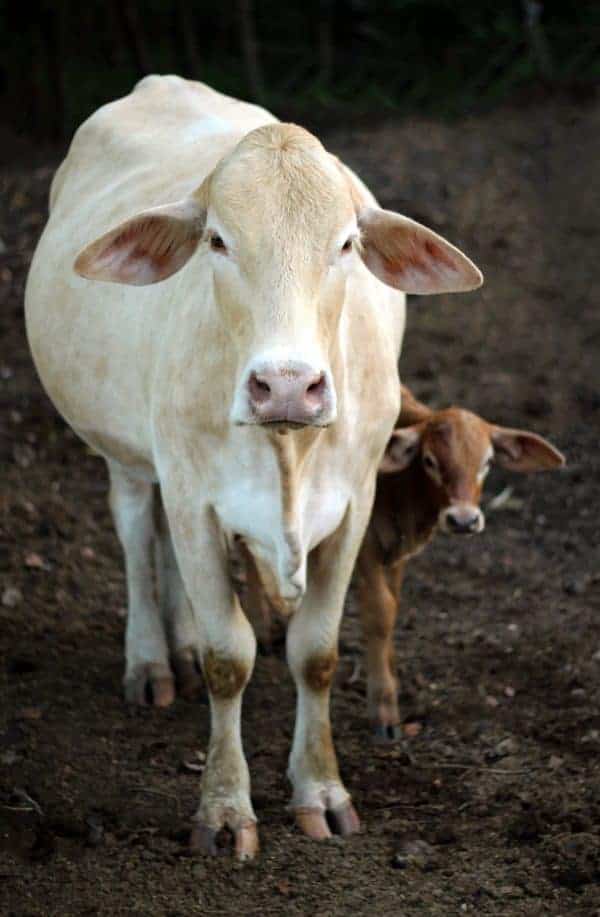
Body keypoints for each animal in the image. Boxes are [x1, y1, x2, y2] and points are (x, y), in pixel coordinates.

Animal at [25, 76, 482, 858]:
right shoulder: (193, 498)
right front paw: (225, 809)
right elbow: (228, 656)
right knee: (136, 533)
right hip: (128, 451)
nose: (288, 385)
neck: (288, 451)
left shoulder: (353, 505)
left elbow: (316, 651)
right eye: (218, 239)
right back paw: (151, 660)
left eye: (346, 243)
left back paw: (175, 645)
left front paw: (322, 792)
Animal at [355, 387, 565, 741]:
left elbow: (393, 606)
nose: (464, 520)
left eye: (488, 462)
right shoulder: (364, 547)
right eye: (429, 460)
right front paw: (383, 709)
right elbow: (380, 613)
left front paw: (392, 676)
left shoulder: (395, 553)